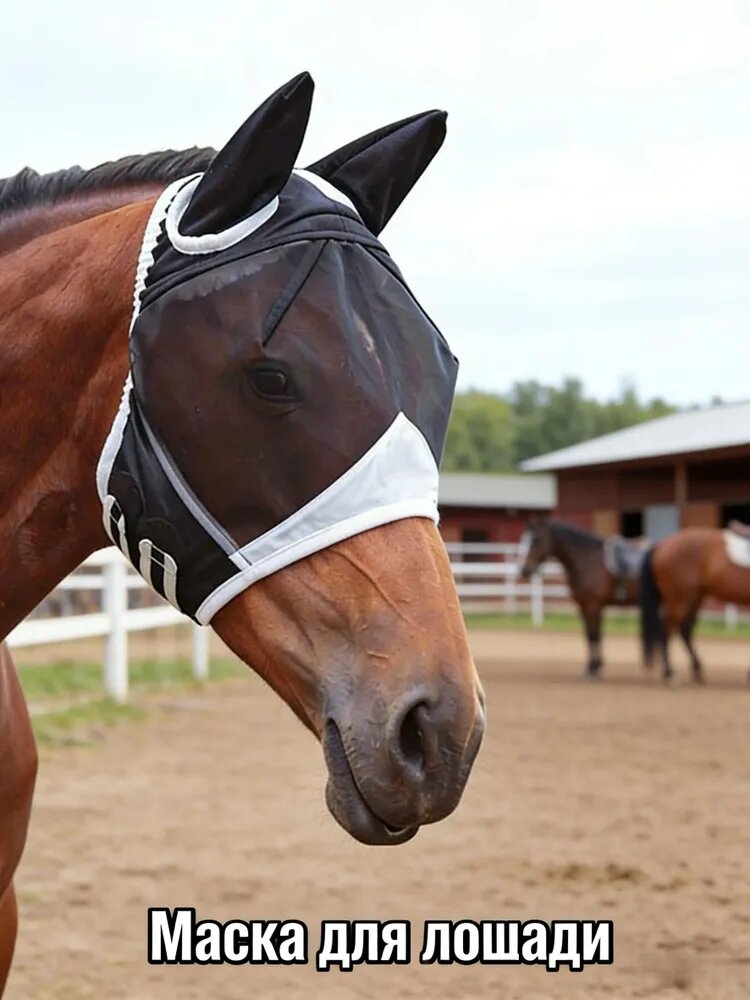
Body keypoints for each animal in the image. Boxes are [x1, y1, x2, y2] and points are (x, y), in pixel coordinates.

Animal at [518, 517, 652, 677]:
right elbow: (590, 635)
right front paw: (594, 666)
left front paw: (593, 668)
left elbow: (594, 635)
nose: (525, 570)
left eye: (537, 540)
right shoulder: (584, 606)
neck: (587, 558)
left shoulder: (593, 605)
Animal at [640, 523, 750, 683]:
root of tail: (661, 545)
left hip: (694, 598)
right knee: (667, 630)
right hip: (679, 601)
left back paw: (697, 670)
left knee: (685, 630)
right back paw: (670, 673)